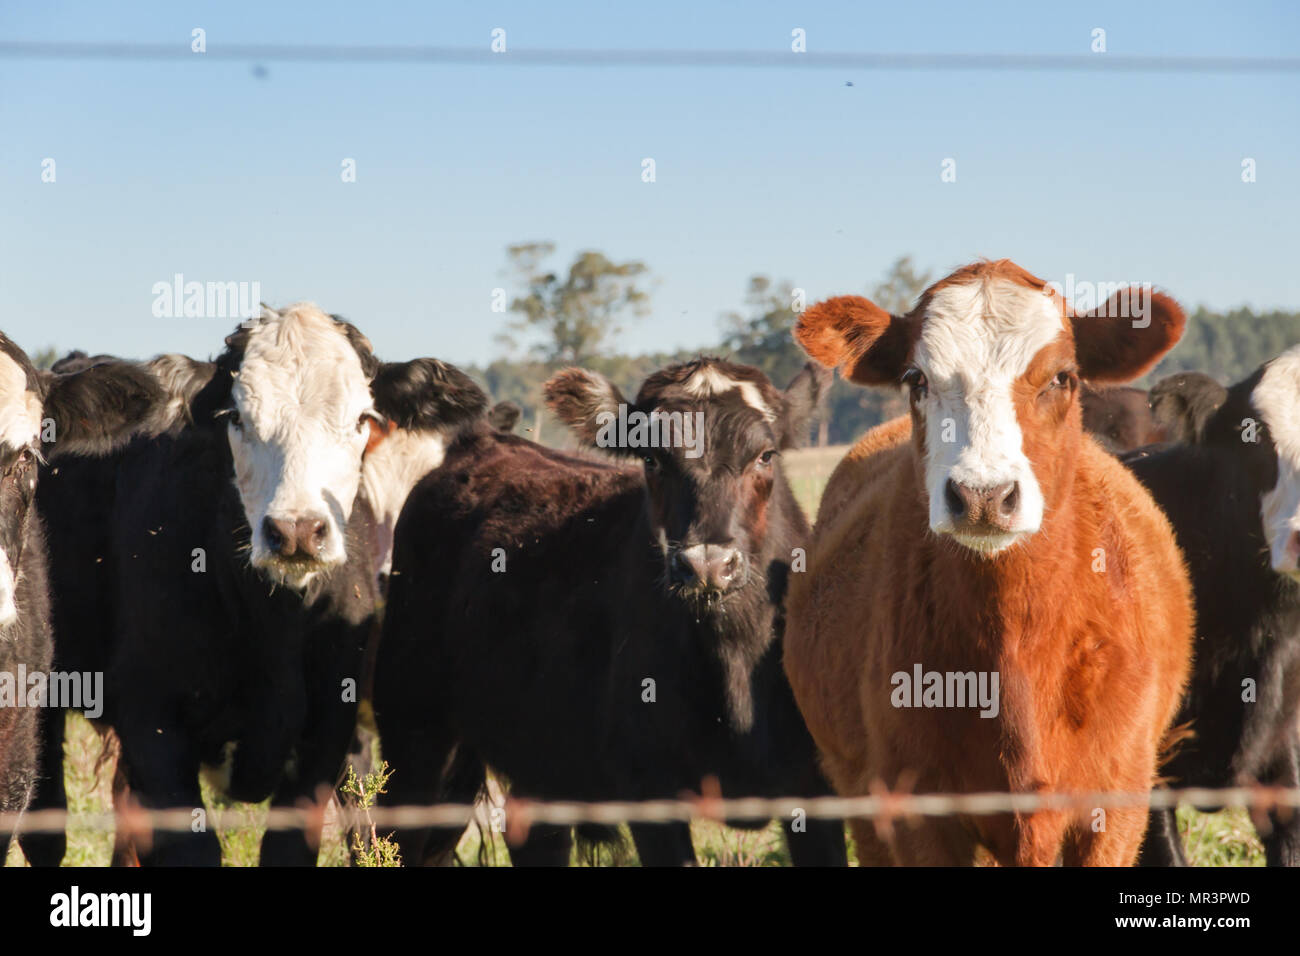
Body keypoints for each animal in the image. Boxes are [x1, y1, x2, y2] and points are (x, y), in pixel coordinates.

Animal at [22, 304, 488, 866]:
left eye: (361, 420)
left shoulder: (328, 733)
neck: (274, 622)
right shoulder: (151, 719)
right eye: (237, 418)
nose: (296, 530)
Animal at [372, 357, 848, 866]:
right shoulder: (650, 791)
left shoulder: (818, 791)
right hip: (413, 732)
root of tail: (480, 440)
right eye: (652, 459)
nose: (707, 564)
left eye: (765, 455)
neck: (733, 664)